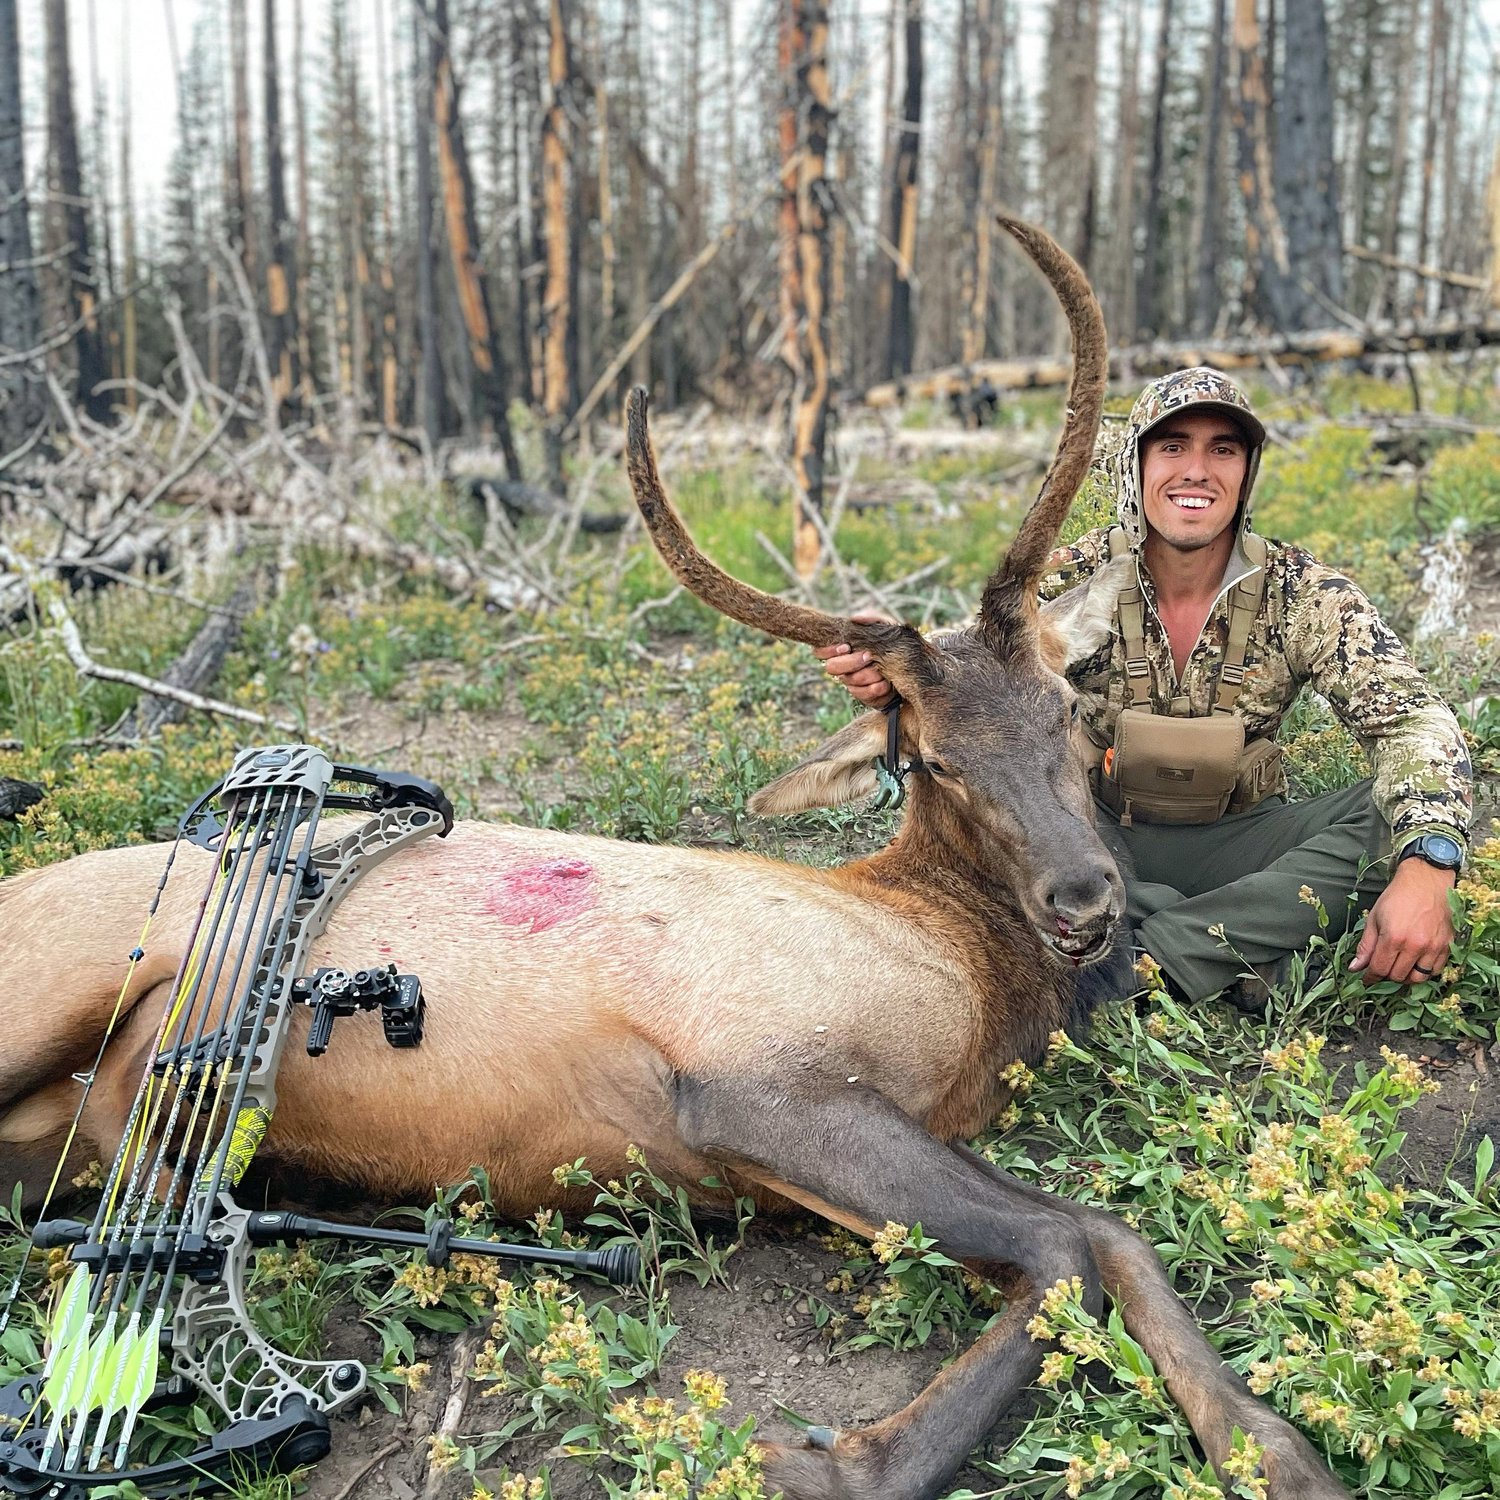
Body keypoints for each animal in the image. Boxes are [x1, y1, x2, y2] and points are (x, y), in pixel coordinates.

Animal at [0, 219, 1350, 1500]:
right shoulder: (756, 1082)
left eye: (1070, 708)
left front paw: (1273, 1449)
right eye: (937, 760)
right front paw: (821, 1458)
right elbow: (1078, 1239)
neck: (967, 974)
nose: (1082, 901)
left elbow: (1105, 1239)